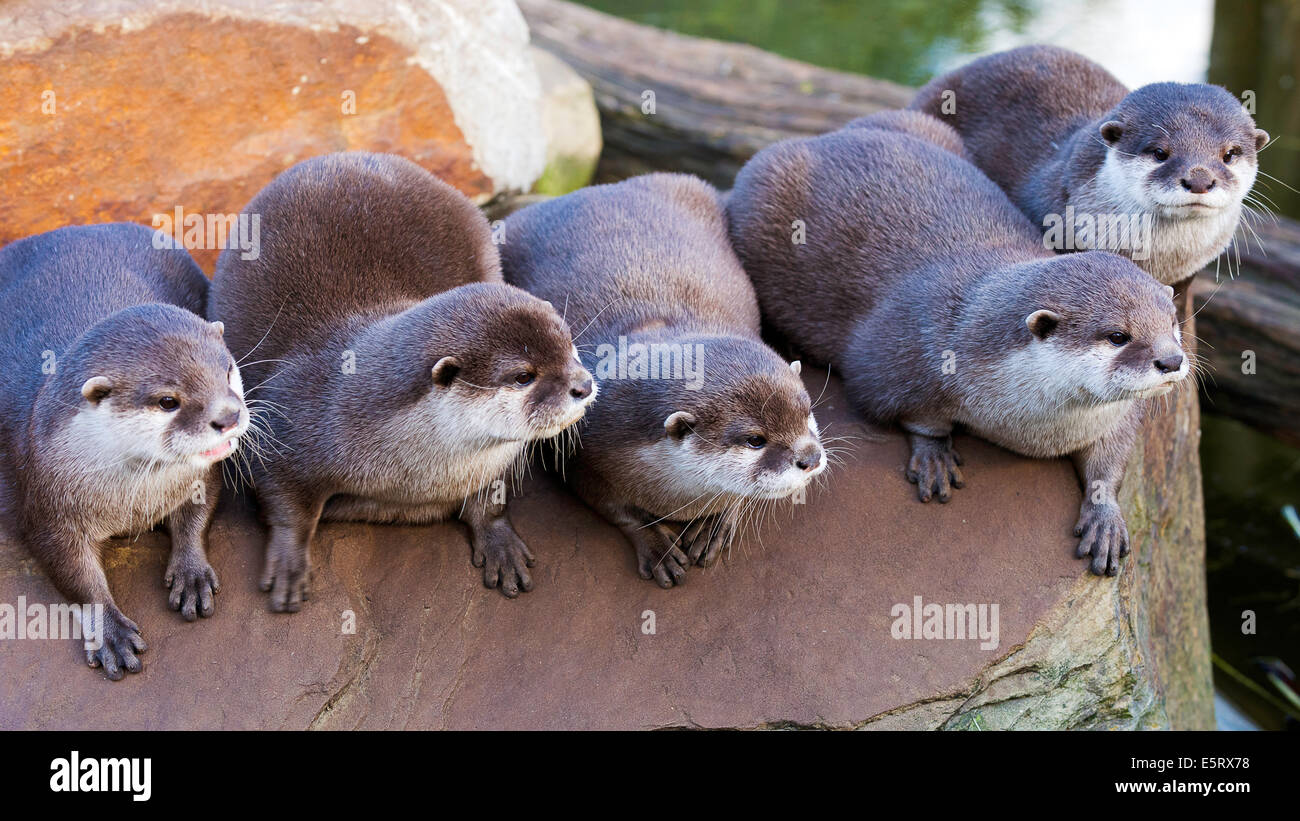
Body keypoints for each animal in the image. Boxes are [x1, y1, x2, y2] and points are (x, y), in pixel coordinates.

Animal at [0, 223, 248, 679]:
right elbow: (74, 575)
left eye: (227, 370)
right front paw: (110, 632)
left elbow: (199, 514)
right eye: (168, 401)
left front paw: (191, 572)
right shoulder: (45, 503)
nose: (229, 415)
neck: (130, 501)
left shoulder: (203, 475)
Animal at [209, 152, 595, 610]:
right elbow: (284, 504)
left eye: (569, 344)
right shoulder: (282, 429)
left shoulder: (494, 462)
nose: (584, 385)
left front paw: (501, 543)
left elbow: (492, 497)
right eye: (523, 376)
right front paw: (288, 564)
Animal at [501, 173, 826, 587]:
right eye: (755, 440)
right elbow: (615, 508)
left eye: (807, 412)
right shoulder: (578, 448)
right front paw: (657, 545)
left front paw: (715, 523)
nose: (810, 457)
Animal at [727, 111, 1189, 576]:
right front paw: (934, 456)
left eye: (1172, 323)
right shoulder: (896, 357)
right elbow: (909, 410)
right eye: (1118, 336)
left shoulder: (1115, 417)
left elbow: (1111, 459)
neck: (1034, 428)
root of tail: (824, 139)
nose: (1172, 361)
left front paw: (1105, 517)